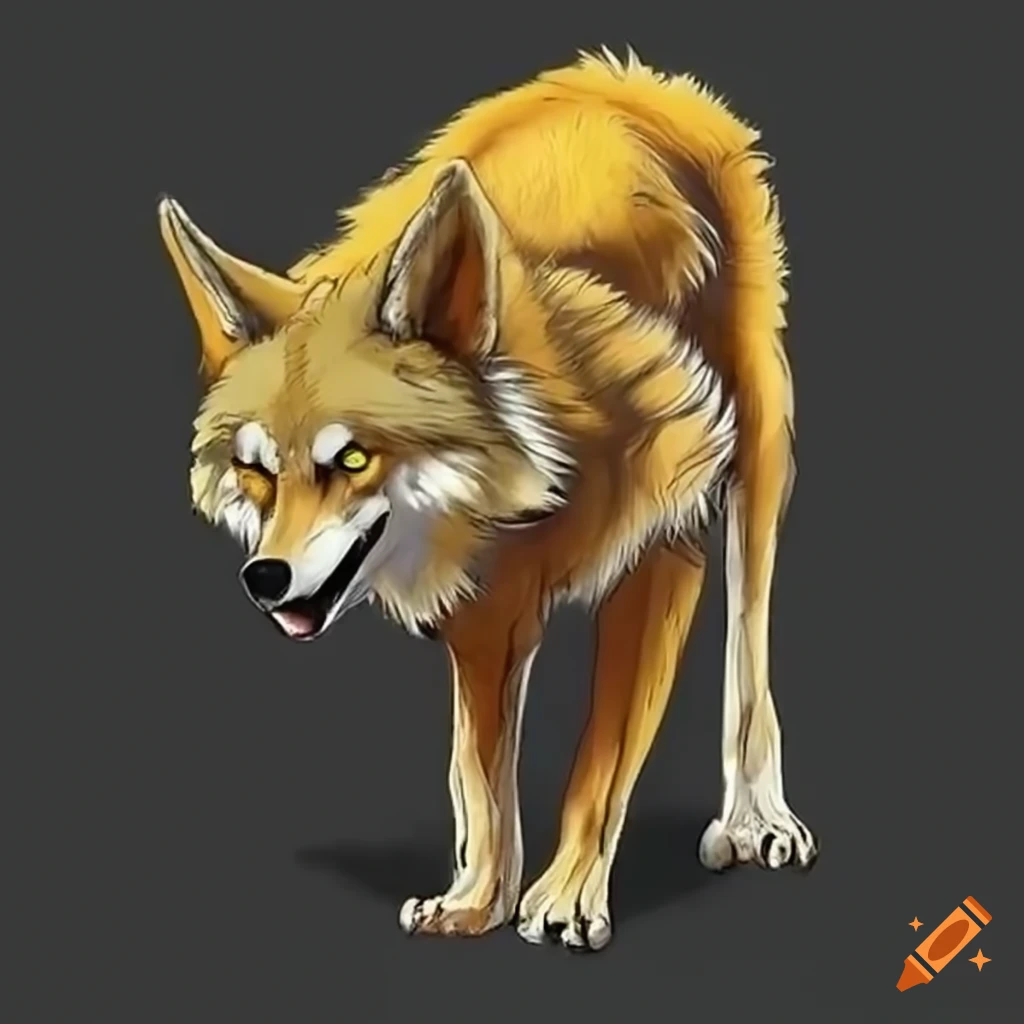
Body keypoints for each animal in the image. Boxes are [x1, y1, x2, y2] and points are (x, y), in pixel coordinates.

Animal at [158, 48, 817, 951]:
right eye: (258, 471)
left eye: (353, 458)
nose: (265, 578)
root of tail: (621, 79)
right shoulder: (481, 614)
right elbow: (477, 778)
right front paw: (477, 901)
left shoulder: (660, 550)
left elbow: (603, 756)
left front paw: (568, 896)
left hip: (757, 445)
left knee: (751, 632)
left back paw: (757, 817)